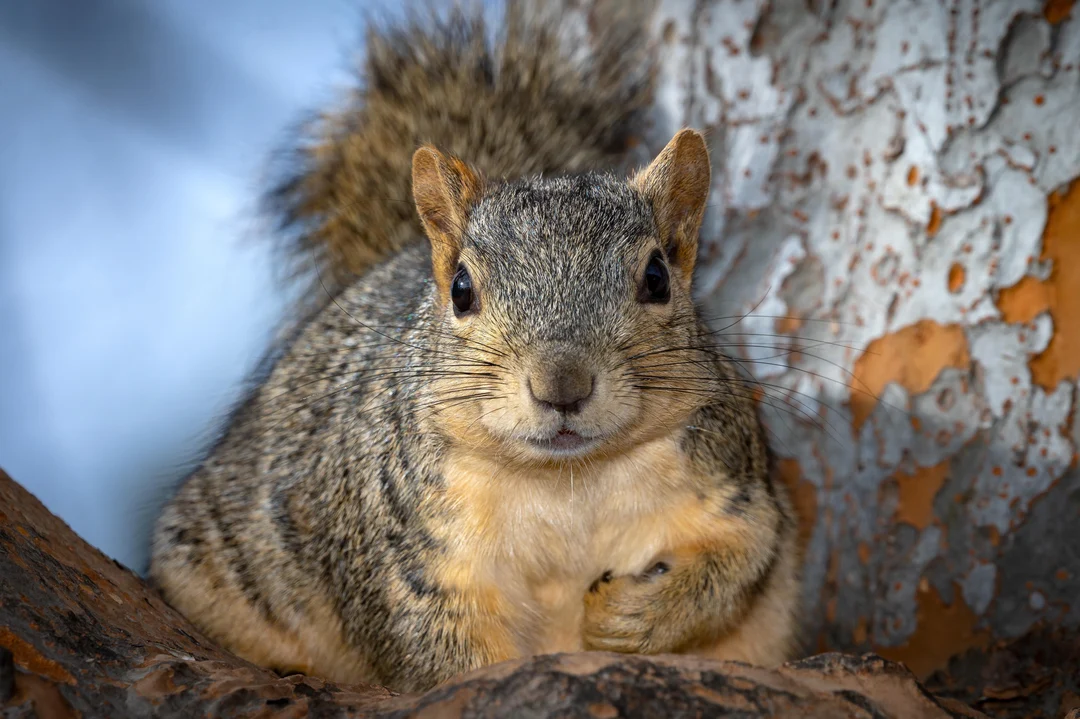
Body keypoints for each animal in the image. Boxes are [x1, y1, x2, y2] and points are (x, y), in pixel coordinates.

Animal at [149, 0, 802, 694]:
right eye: (461, 289)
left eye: (657, 278)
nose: (562, 386)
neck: (567, 483)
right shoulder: (408, 562)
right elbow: (438, 652)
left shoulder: (732, 480)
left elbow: (739, 563)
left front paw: (632, 617)